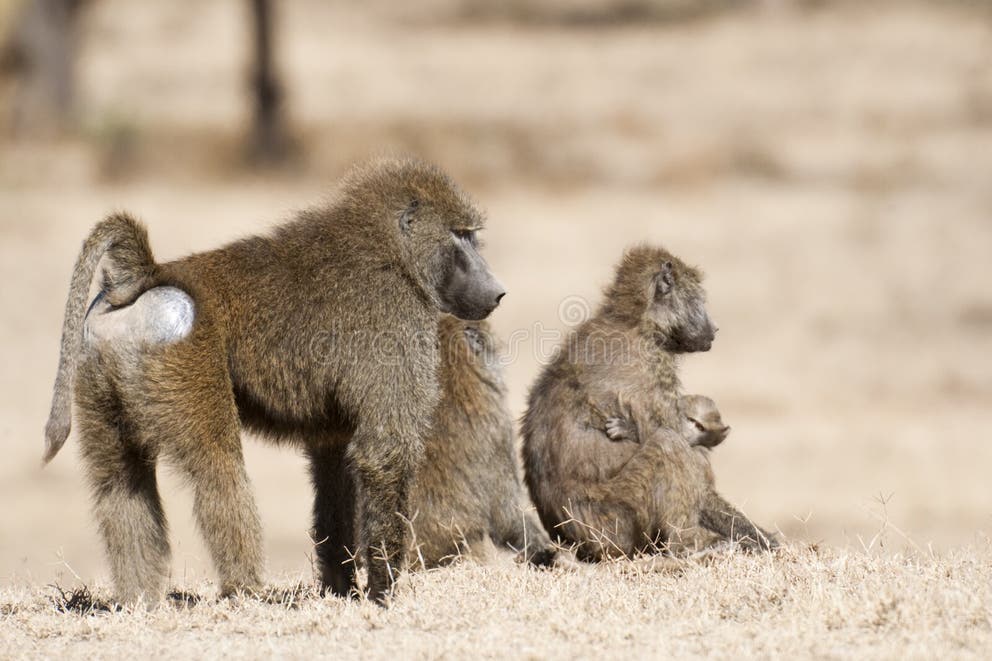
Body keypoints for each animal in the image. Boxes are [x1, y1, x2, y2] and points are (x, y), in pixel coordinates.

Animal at [44, 157, 506, 605]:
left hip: (97, 372)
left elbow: (333, 463)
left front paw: (341, 588)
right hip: (184, 358)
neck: (395, 253)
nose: (497, 292)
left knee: (119, 482)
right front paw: (382, 591)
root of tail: (147, 275)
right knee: (218, 468)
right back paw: (245, 591)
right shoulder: (393, 318)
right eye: (461, 236)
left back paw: (140, 599)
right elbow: (384, 453)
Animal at [521, 245, 776, 564]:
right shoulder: (655, 367)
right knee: (668, 445)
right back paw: (691, 544)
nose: (715, 328)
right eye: (698, 301)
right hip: (615, 525)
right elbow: (689, 458)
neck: (636, 322)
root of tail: (575, 544)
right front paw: (762, 540)